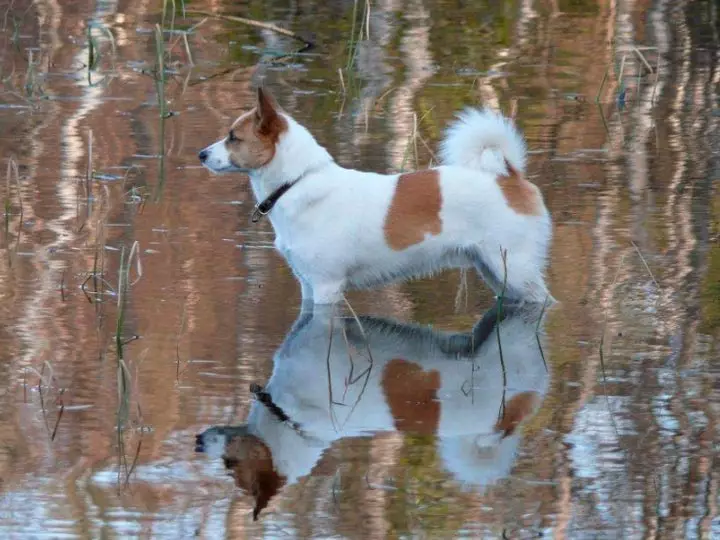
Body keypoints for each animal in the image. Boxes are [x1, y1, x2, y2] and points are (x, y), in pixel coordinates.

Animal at [200, 88, 556, 304]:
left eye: (233, 138)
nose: (201, 154)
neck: (296, 181)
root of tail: (507, 178)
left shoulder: (327, 288)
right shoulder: (308, 286)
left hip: (516, 269)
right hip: (495, 272)